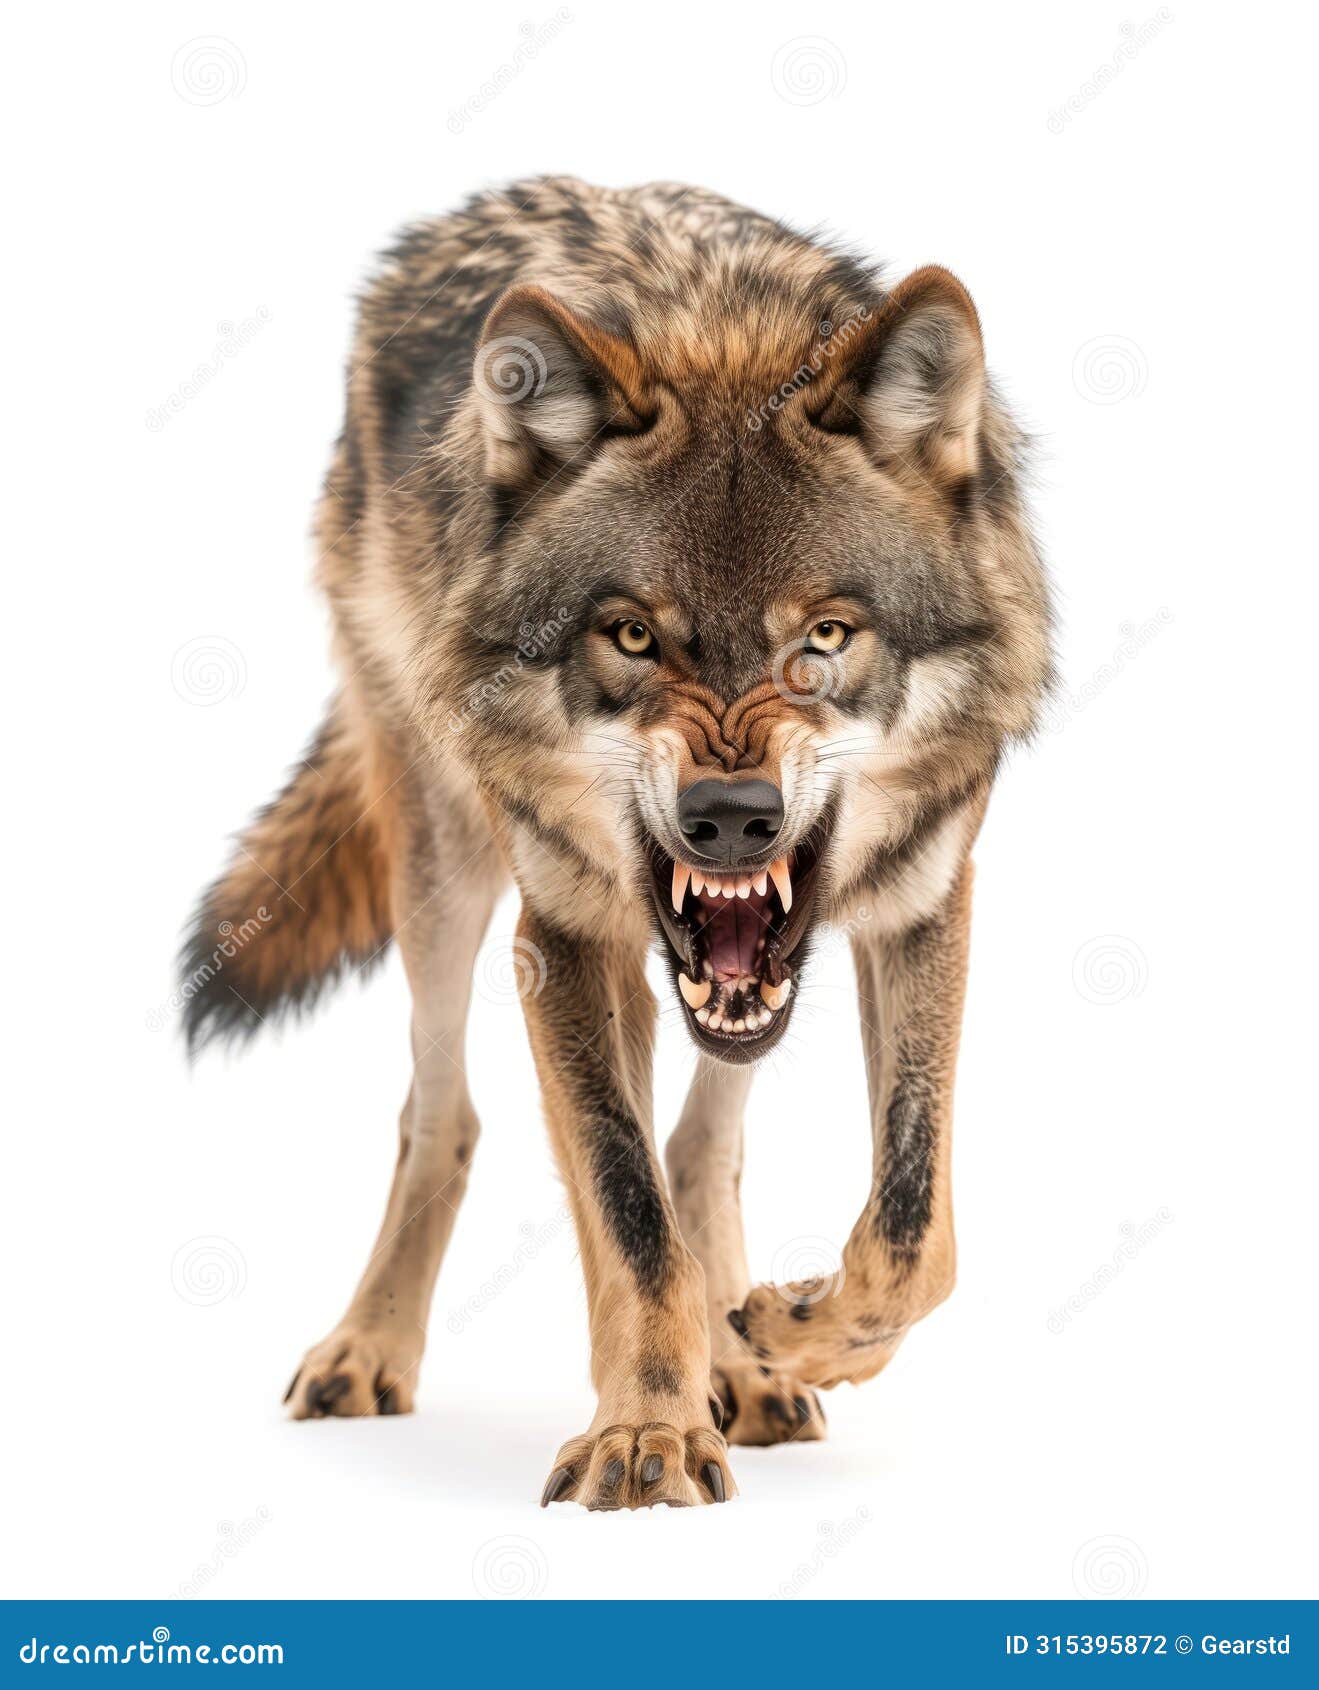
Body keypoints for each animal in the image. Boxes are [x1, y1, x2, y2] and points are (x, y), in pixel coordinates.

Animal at [182, 177, 1052, 1510]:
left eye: (825, 635)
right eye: (634, 636)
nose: (730, 817)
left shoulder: (921, 901)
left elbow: (913, 1228)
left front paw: (789, 1333)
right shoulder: (563, 940)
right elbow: (627, 1214)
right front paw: (646, 1431)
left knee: (702, 1141)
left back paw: (744, 1364)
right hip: (442, 866)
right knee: (442, 1114)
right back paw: (370, 1346)